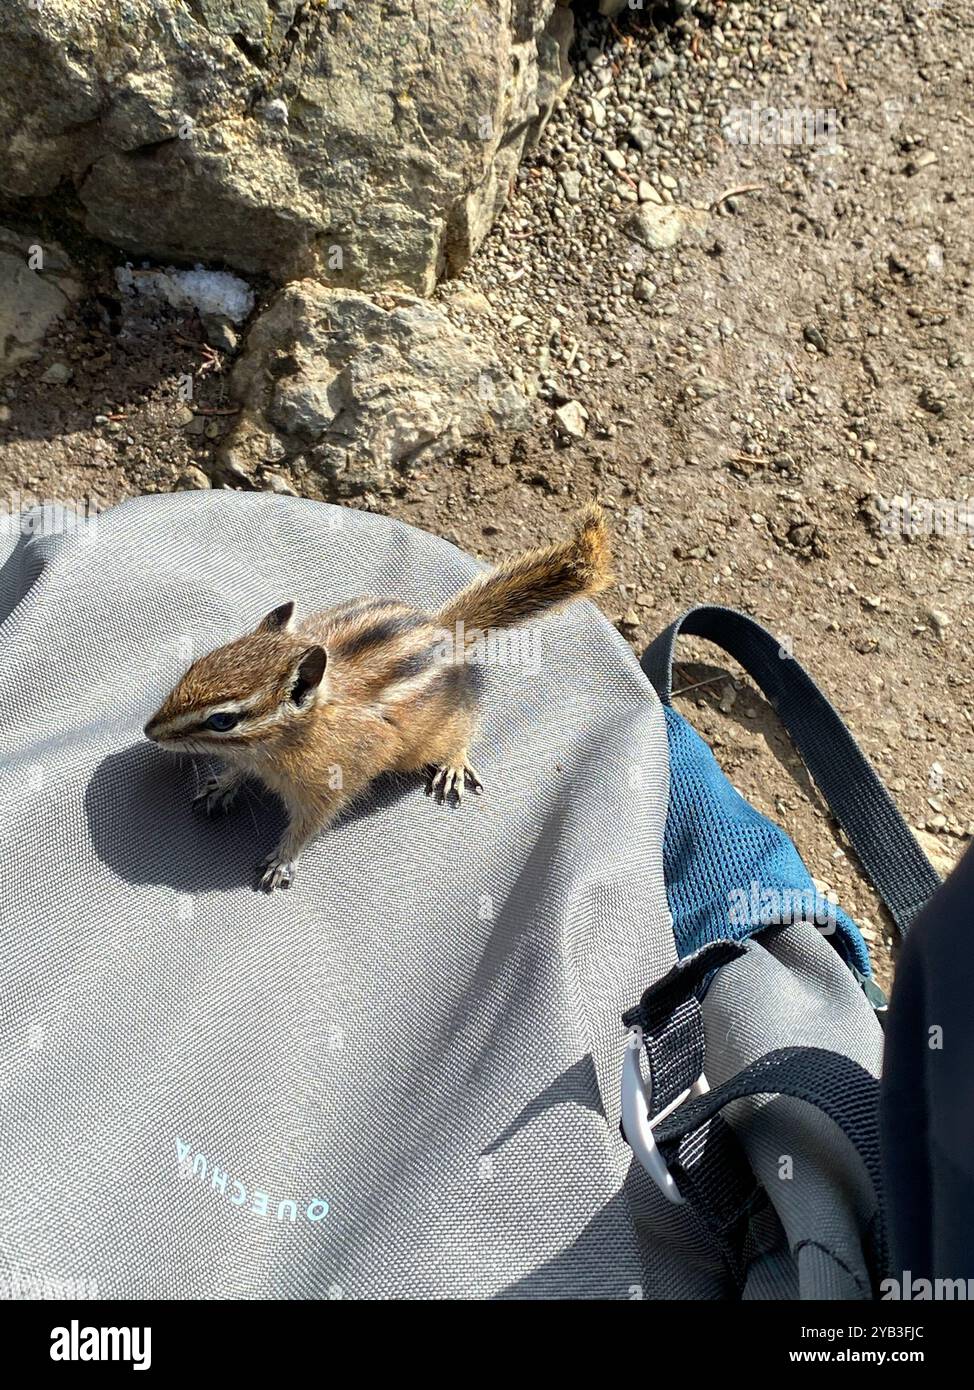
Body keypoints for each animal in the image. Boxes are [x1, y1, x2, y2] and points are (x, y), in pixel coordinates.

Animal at [144, 503, 611, 891]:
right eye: (196, 665)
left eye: (223, 720)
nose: (149, 731)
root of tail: (445, 630)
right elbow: (237, 771)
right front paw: (223, 784)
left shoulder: (331, 786)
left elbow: (309, 826)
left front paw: (283, 859)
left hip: (434, 737)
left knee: (465, 729)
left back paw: (455, 764)